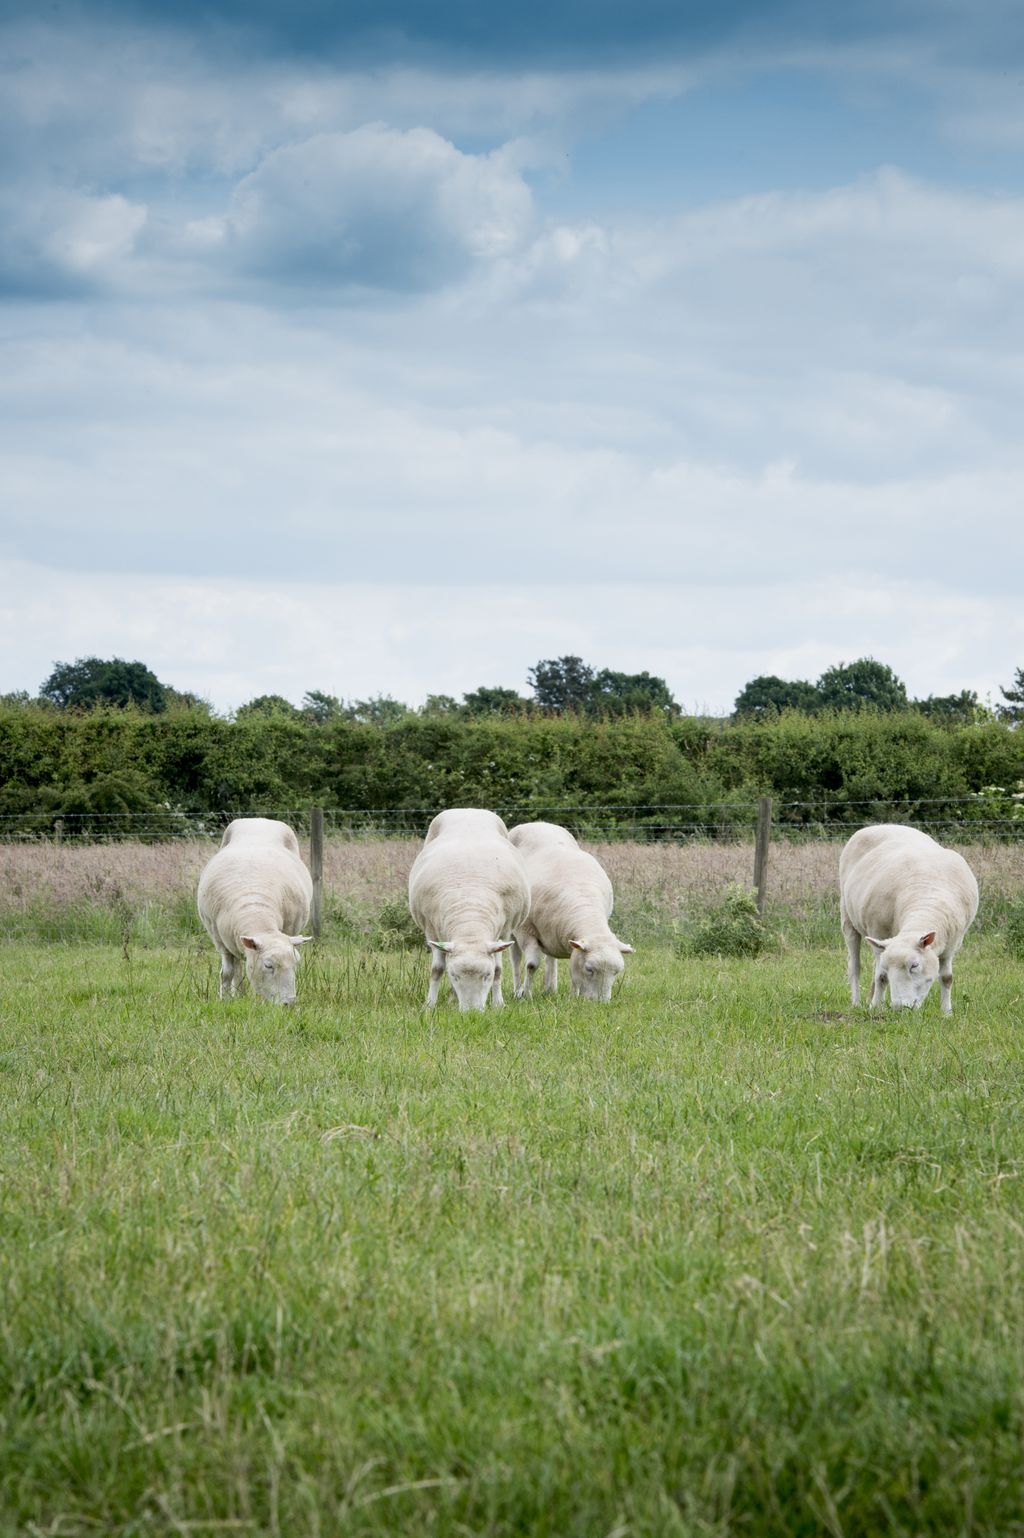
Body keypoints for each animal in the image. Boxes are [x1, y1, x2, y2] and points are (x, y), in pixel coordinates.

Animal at [197, 817, 313, 1005]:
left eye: (296, 964)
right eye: (268, 965)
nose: (288, 1003)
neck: (255, 909)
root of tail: (259, 820)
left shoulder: (289, 930)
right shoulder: (219, 939)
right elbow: (227, 973)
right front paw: (225, 999)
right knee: (237, 967)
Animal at [407, 808, 530, 1012]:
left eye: (487, 975)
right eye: (454, 976)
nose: (471, 1012)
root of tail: (469, 810)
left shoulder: (504, 931)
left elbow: (499, 969)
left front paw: (498, 1004)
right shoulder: (432, 930)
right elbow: (437, 969)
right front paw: (430, 1004)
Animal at [507, 821, 634, 1002]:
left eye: (616, 972)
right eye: (589, 969)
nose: (601, 1003)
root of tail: (538, 823)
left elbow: (573, 970)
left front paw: (574, 996)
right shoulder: (525, 931)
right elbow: (531, 965)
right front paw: (526, 995)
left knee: (550, 959)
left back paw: (550, 989)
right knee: (515, 958)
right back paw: (518, 989)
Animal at [839, 824, 979, 1014]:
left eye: (914, 965)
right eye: (889, 968)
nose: (900, 1007)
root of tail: (879, 825)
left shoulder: (952, 944)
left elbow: (947, 978)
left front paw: (946, 1012)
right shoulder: (878, 931)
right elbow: (881, 976)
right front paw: (875, 1008)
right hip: (847, 918)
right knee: (854, 965)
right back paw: (857, 1002)